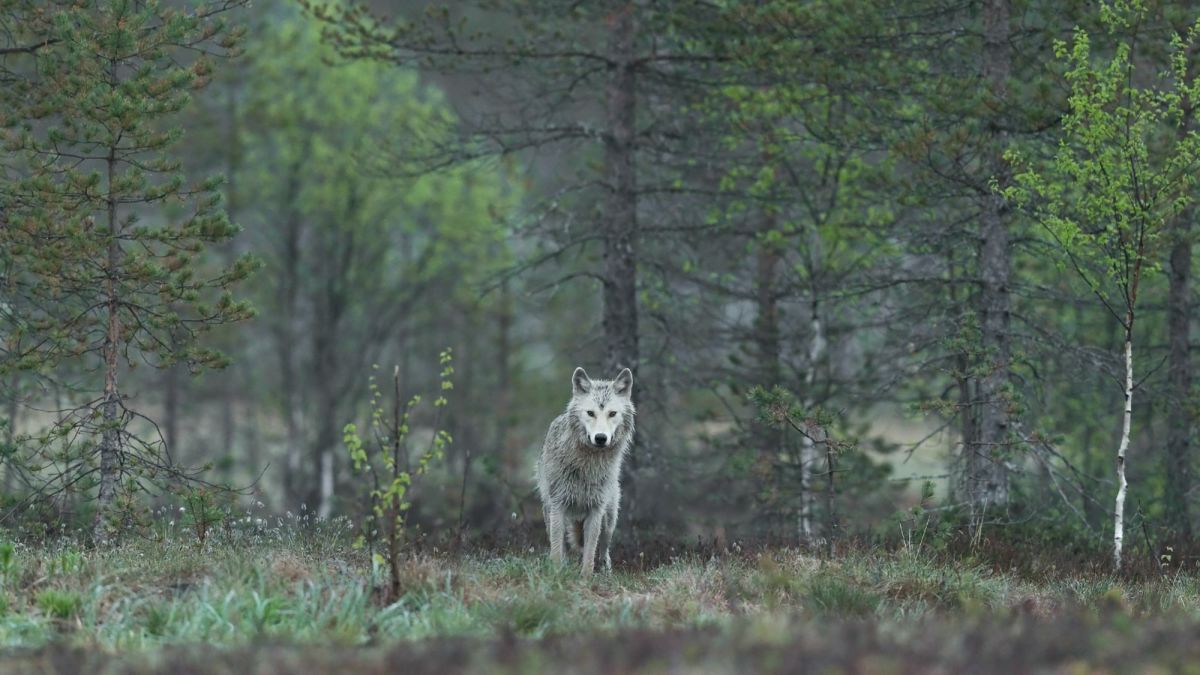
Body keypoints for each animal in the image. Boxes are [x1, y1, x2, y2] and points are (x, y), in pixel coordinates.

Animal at [536, 366, 634, 578]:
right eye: (590, 413)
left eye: (612, 413)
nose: (600, 438)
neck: (587, 466)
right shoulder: (558, 506)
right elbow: (557, 550)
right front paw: (556, 575)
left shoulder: (596, 510)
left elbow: (589, 552)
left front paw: (585, 578)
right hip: (549, 512)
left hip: (609, 520)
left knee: (603, 551)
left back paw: (606, 573)